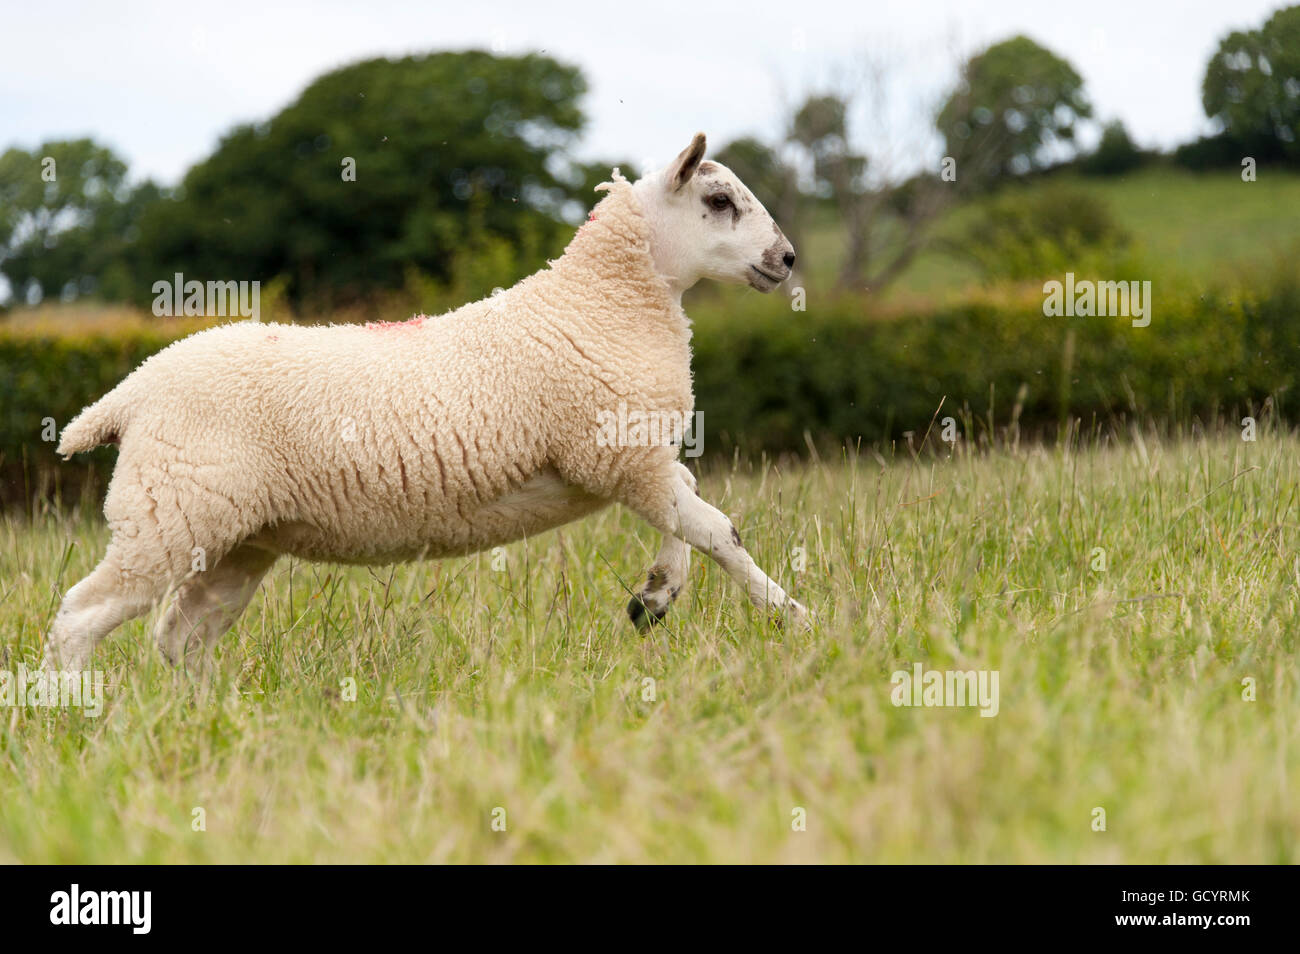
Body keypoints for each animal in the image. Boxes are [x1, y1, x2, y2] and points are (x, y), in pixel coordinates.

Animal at [43, 132, 808, 673]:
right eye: (719, 202)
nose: (789, 258)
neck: (597, 304)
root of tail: (130, 391)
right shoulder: (617, 457)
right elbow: (719, 531)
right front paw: (794, 618)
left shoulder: (630, 459)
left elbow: (693, 506)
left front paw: (654, 598)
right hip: (169, 515)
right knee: (80, 617)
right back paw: (73, 716)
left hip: (233, 536)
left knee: (182, 635)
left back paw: (203, 715)